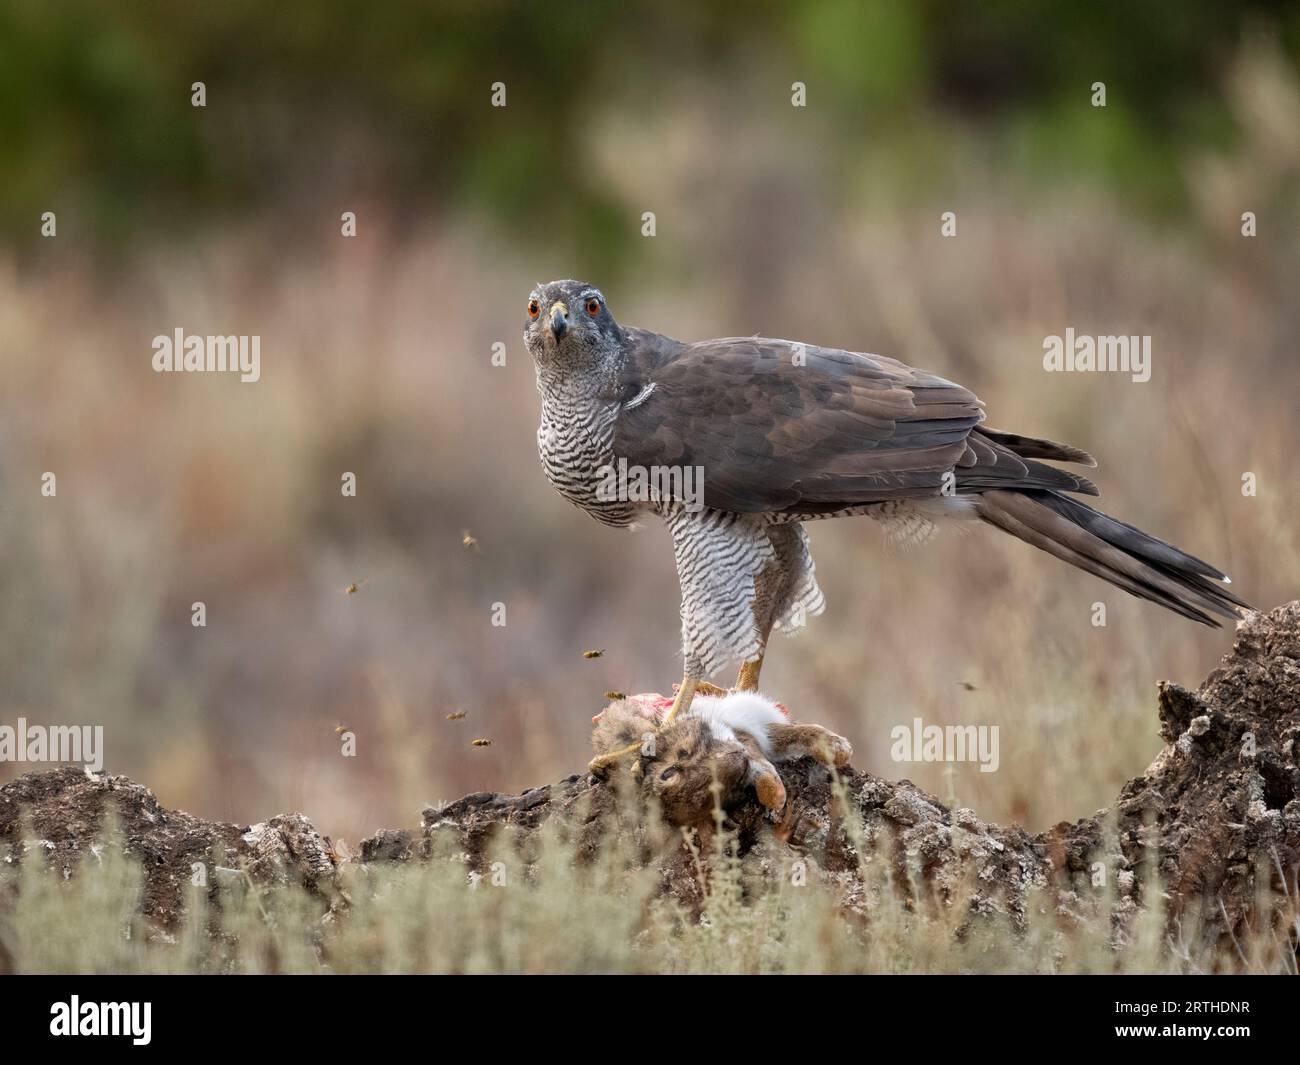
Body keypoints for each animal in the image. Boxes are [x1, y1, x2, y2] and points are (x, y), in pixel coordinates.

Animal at [591, 689, 852, 826]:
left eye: (682, 755)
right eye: (714, 792)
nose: (736, 758)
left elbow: (794, 734)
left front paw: (838, 749)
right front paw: (774, 795)